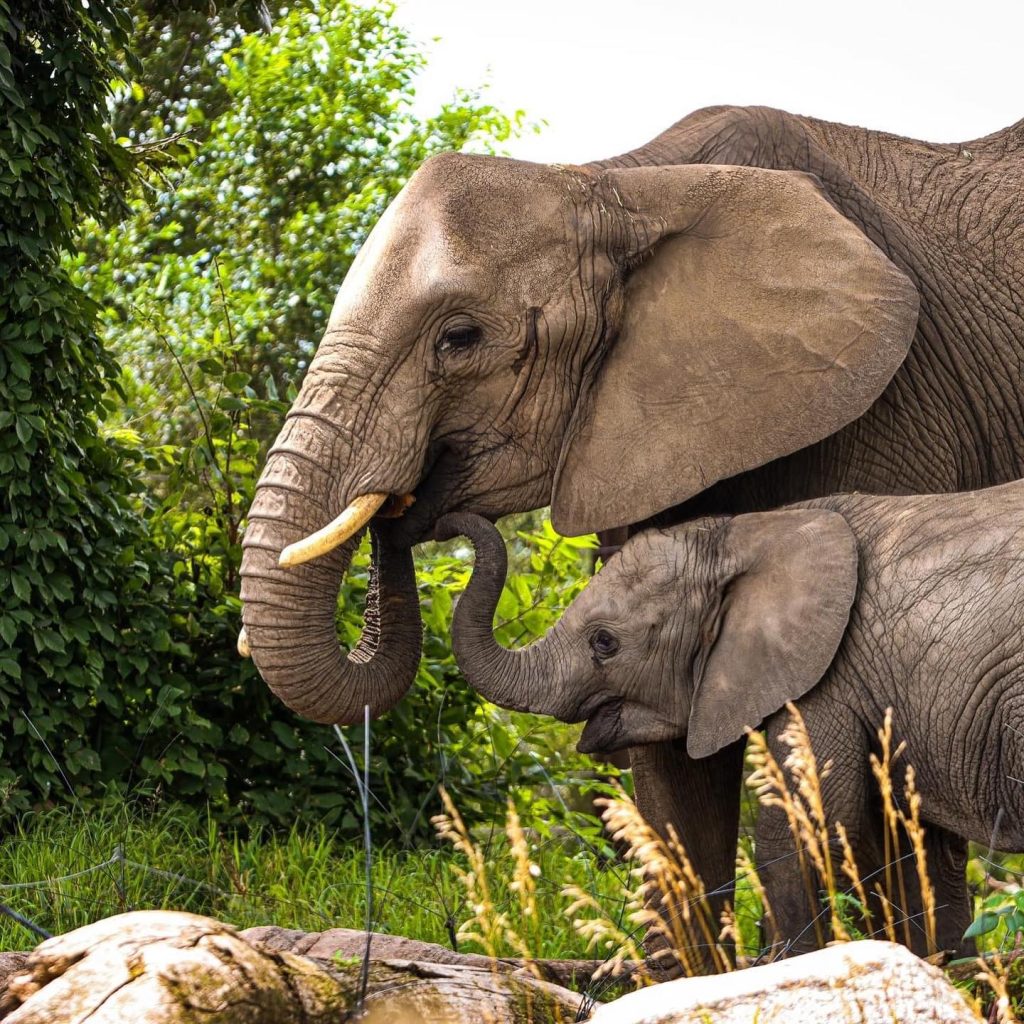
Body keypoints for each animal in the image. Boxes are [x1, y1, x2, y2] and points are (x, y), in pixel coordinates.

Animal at [436, 483, 1024, 957]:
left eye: (604, 643)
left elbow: (802, 827)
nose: (446, 517)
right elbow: (911, 845)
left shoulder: (828, 675)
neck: (750, 532)